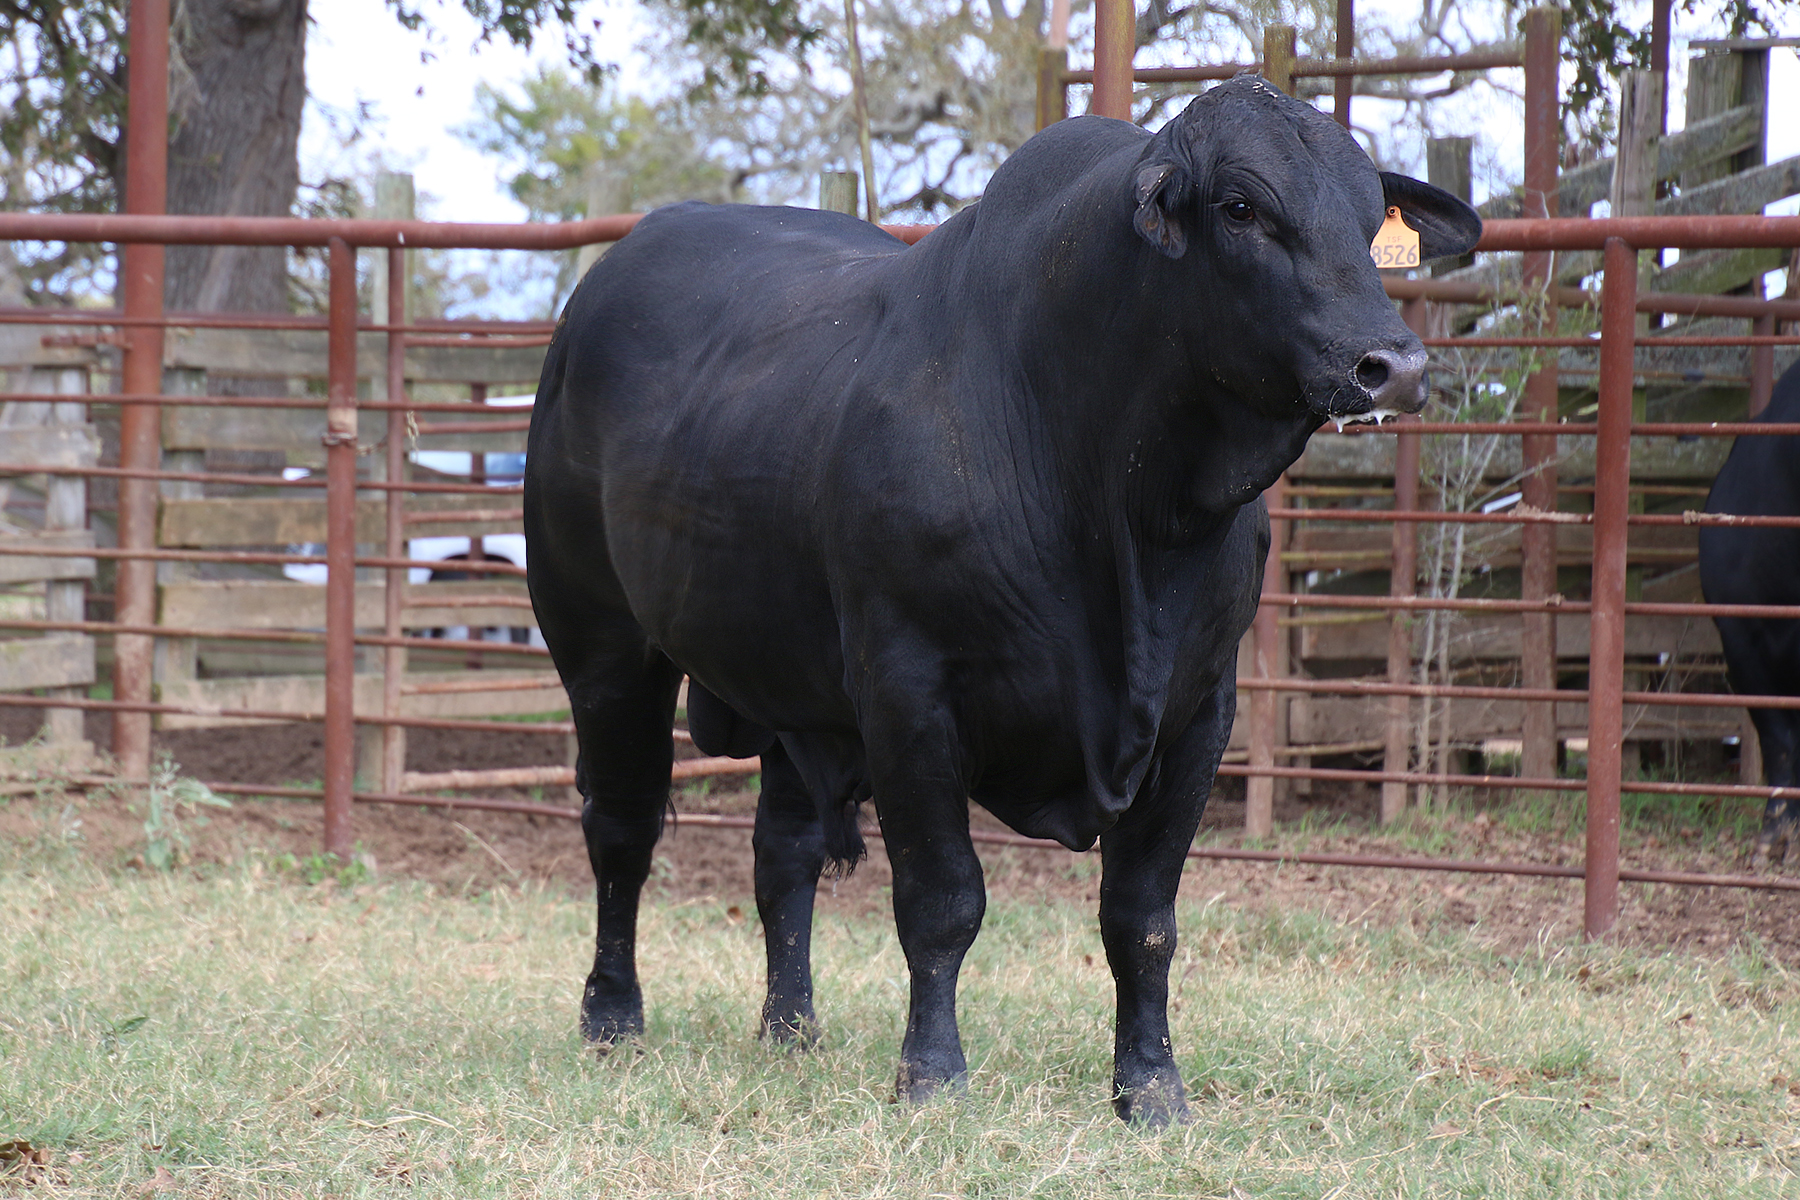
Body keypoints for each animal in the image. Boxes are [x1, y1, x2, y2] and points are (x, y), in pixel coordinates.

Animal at [524, 75, 1482, 1125]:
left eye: (1368, 211)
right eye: (1240, 207)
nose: (1392, 365)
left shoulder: (1202, 708)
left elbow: (1142, 916)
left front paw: (1151, 1088)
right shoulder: (909, 690)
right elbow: (942, 901)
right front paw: (932, 1075)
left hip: (792, 684)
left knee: (784, 849)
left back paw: (790, 1028)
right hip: (601, 646)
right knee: (622, 830)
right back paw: (613, 1018)